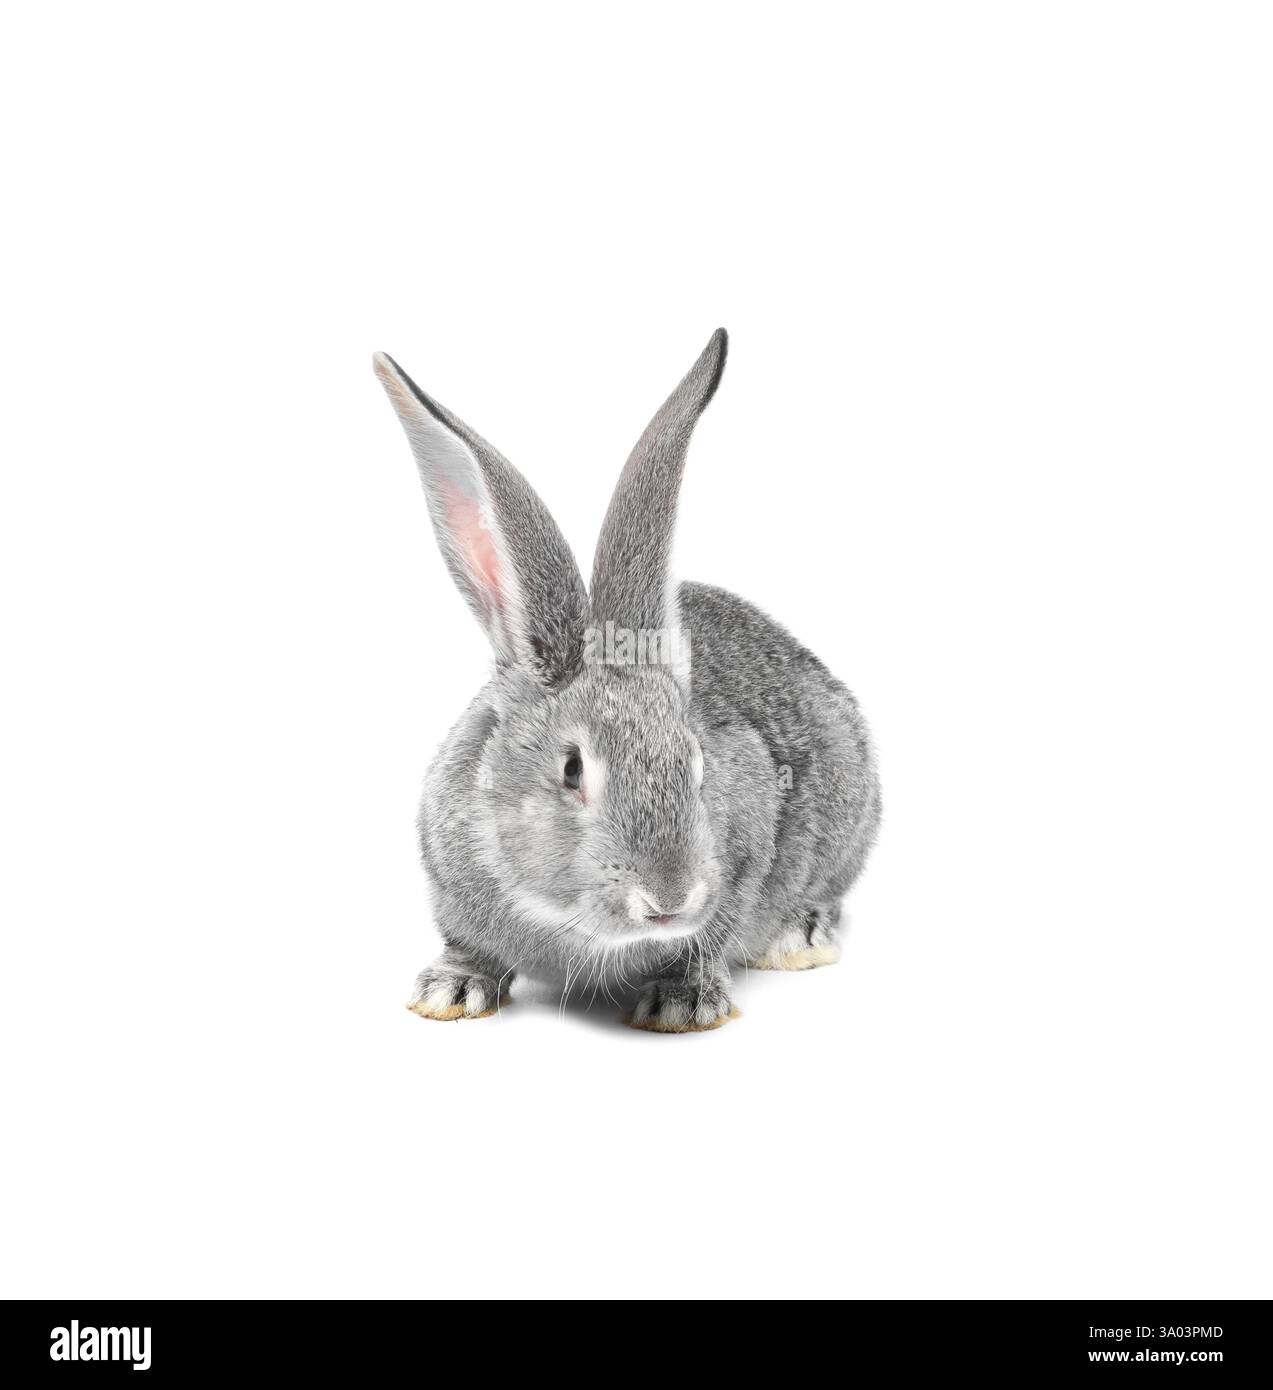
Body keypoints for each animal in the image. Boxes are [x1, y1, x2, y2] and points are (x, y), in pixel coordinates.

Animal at [373, 329, 880, 1032]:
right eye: (571, 770)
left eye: (697, 765)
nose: (669, 897)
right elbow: (467, 944)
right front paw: (451, 989)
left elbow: (709, 941)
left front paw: (685, 1003)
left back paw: (797, 937)